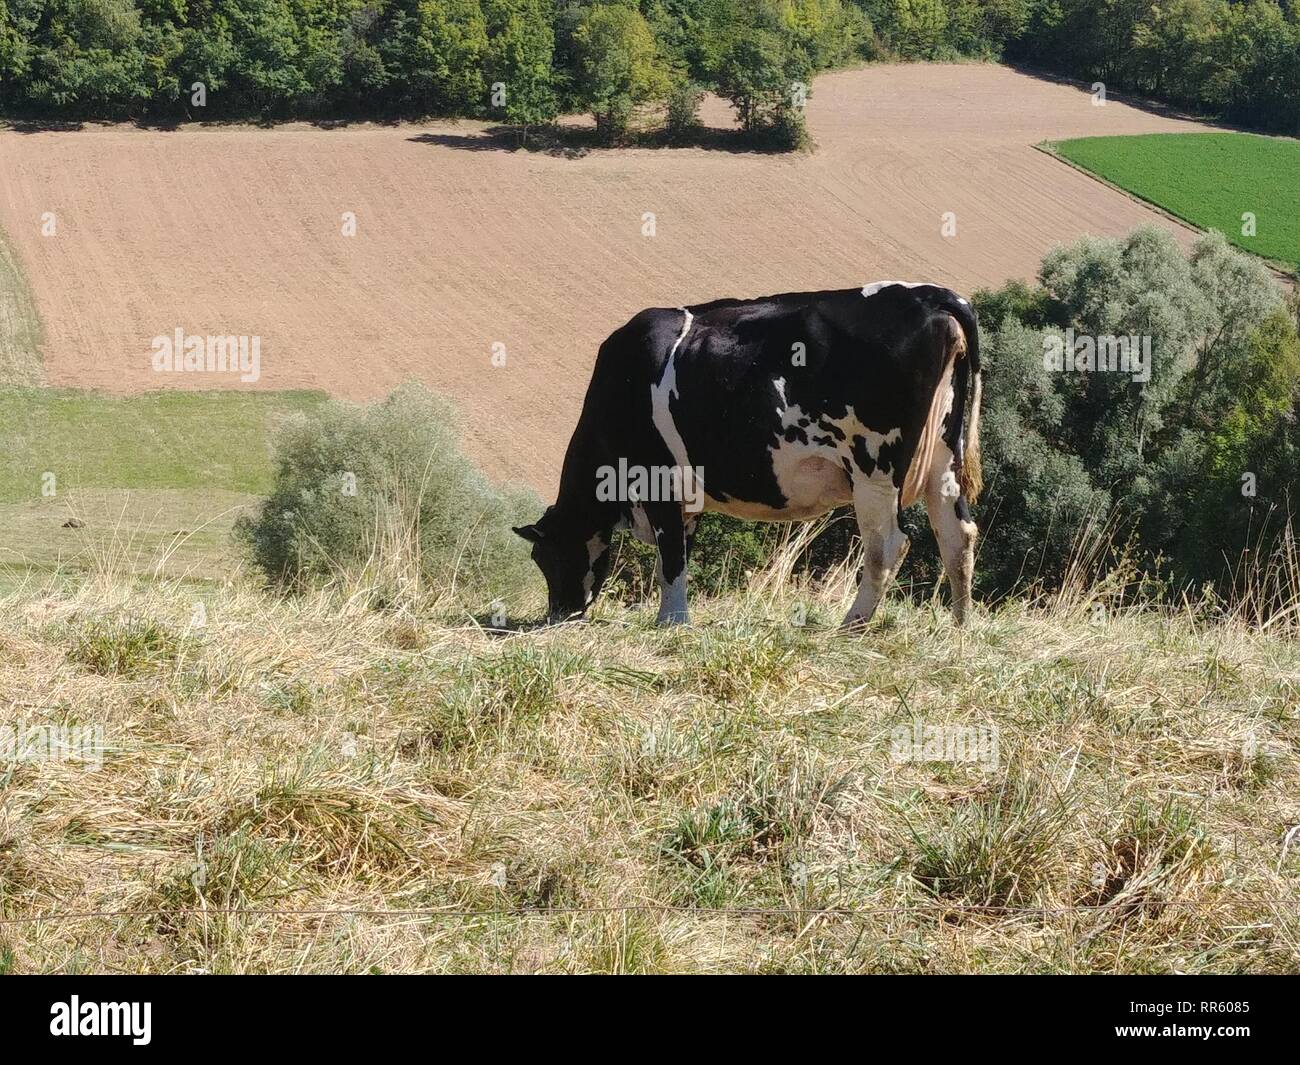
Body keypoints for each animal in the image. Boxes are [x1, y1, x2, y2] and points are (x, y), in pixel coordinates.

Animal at [513, 282, 982, 628]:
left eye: (545, 557)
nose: (559, 614)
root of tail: (931, 294)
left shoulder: (658, 479)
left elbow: (671, 558)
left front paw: (671, 621)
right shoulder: (687, 498)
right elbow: (681, 553)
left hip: (874, 467)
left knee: (887, 545)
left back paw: (851, 624)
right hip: (944, 460)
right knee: (957, 535)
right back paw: (959, 627)